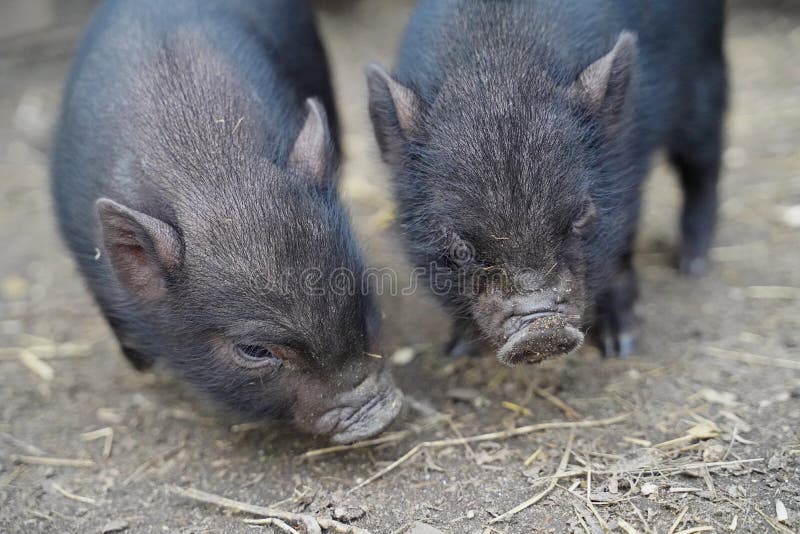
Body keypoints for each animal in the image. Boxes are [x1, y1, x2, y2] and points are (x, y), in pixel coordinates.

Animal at [366, 0, 726, 361]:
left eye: (581, 217)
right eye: (459, 245)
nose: (541, 331)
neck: (498, 58)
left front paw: (621, 347)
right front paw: (457, 350)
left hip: (705, 85)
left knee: (703, 168)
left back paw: (692, 265)